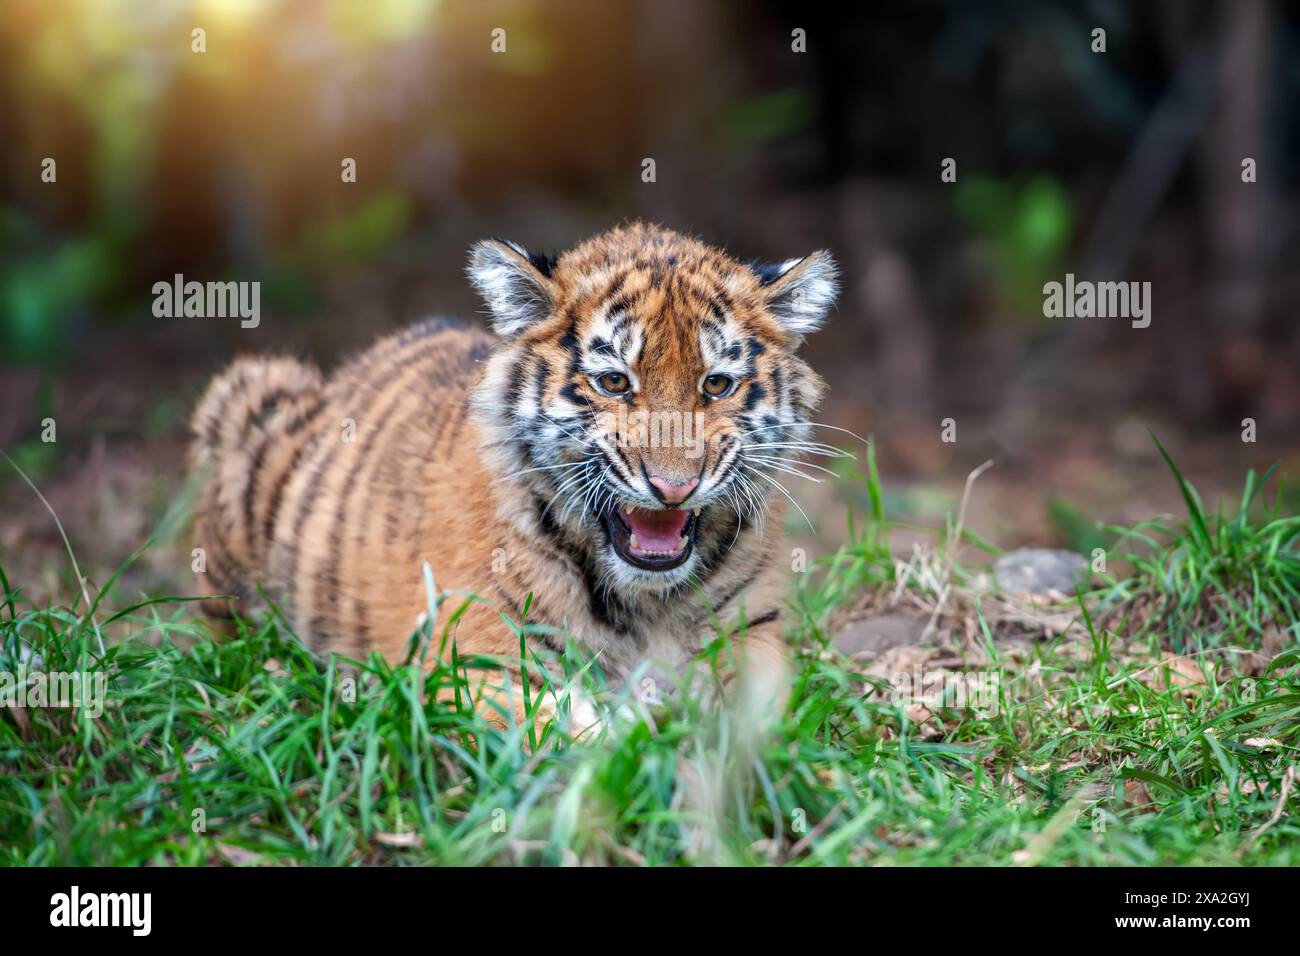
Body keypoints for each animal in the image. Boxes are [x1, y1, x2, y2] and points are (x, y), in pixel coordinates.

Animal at [189, 222, 839, 727]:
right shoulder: (470, 652)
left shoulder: (756, 634)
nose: (673, 486)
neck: (645, 601)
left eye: (716, 385)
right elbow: (557, 734)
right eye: (614, 382)